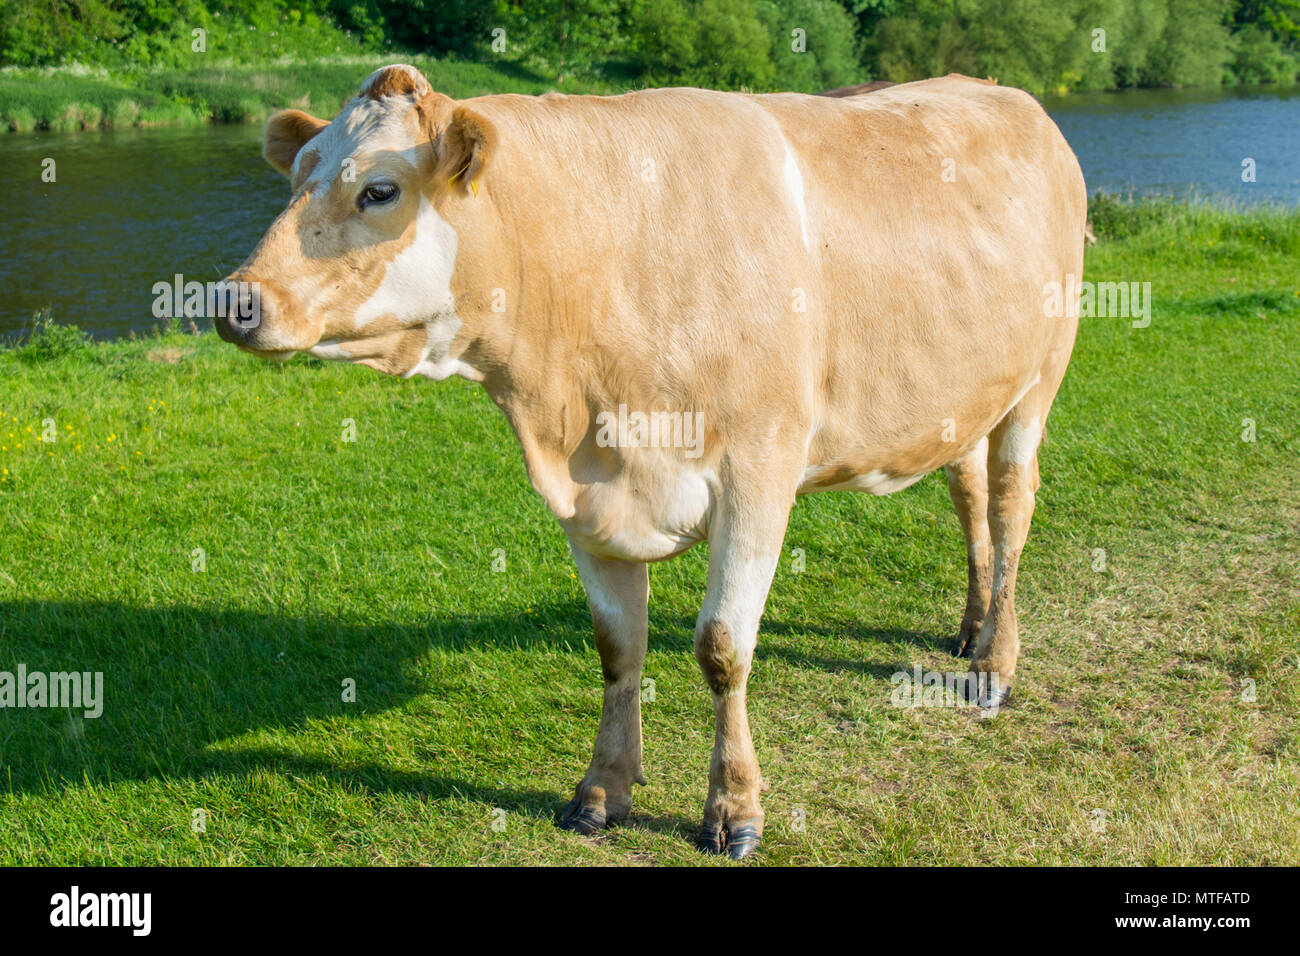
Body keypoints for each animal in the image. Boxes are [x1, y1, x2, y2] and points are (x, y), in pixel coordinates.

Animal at [215, 64, 1086, 860]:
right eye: (294, 178)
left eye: (379, 191)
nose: (234, 300)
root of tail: (999, 90)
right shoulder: (586, 499)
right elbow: (617, 647)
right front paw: (602, 789)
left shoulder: (759, 471)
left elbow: (722, 647)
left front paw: (733, 808)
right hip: (962, 394)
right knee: (967, 493)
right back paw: (971, 626)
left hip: (1040, 378)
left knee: (1010, 505)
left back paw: (995, 661)